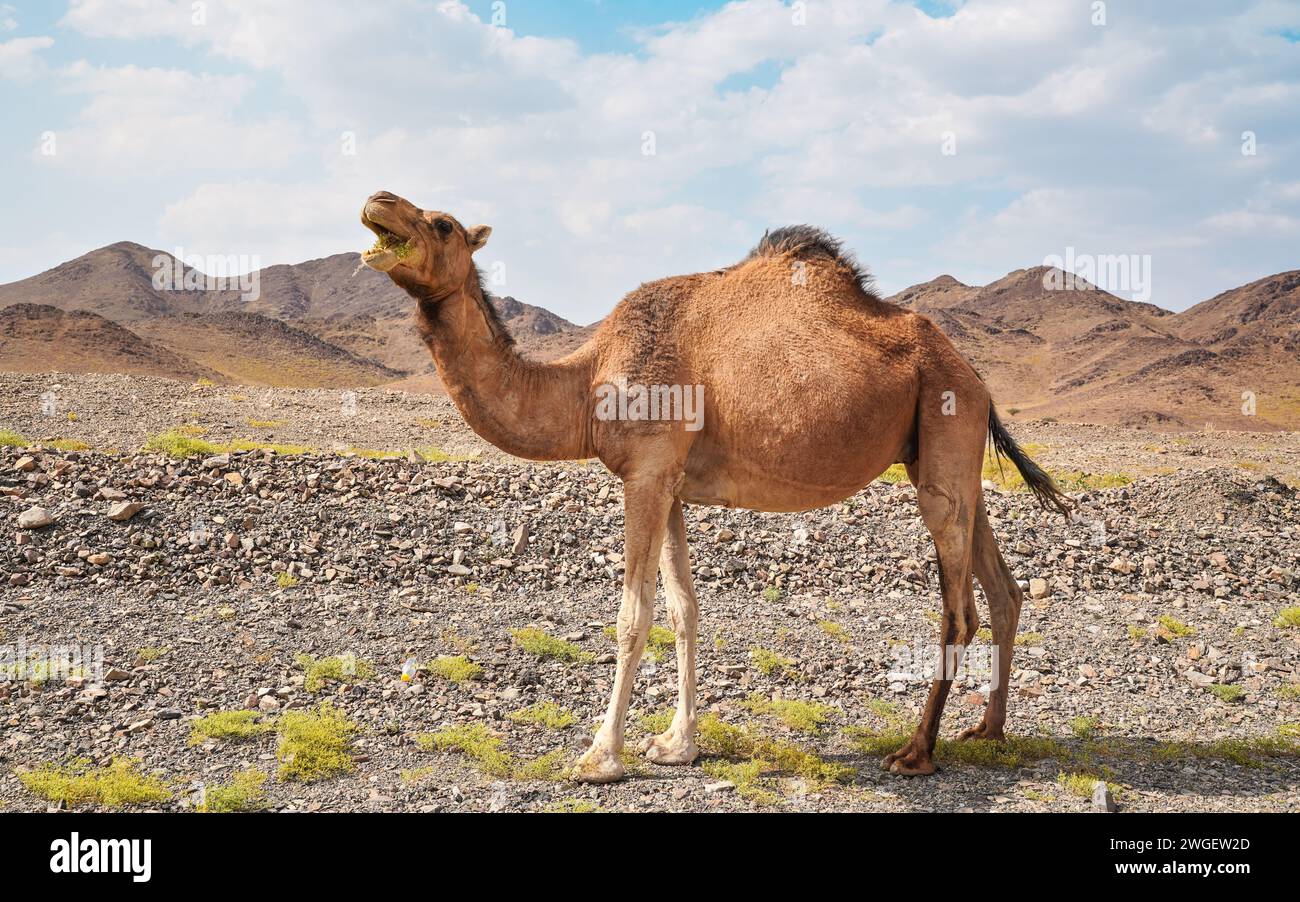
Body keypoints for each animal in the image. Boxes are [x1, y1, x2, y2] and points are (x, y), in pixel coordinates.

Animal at [359, 190, 1071, 783]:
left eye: (442, 223)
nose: (378, 200)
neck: (585, 386)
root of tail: (975, 375)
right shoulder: (669, 480)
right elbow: (683, 610)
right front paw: (677, 744)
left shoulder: (646, 473)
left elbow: (633, 615)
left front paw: (600, 756)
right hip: (944, 449)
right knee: (1002, 589)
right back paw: (988, 729)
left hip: (944, 419)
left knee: (959, 608)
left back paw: (916, 751)